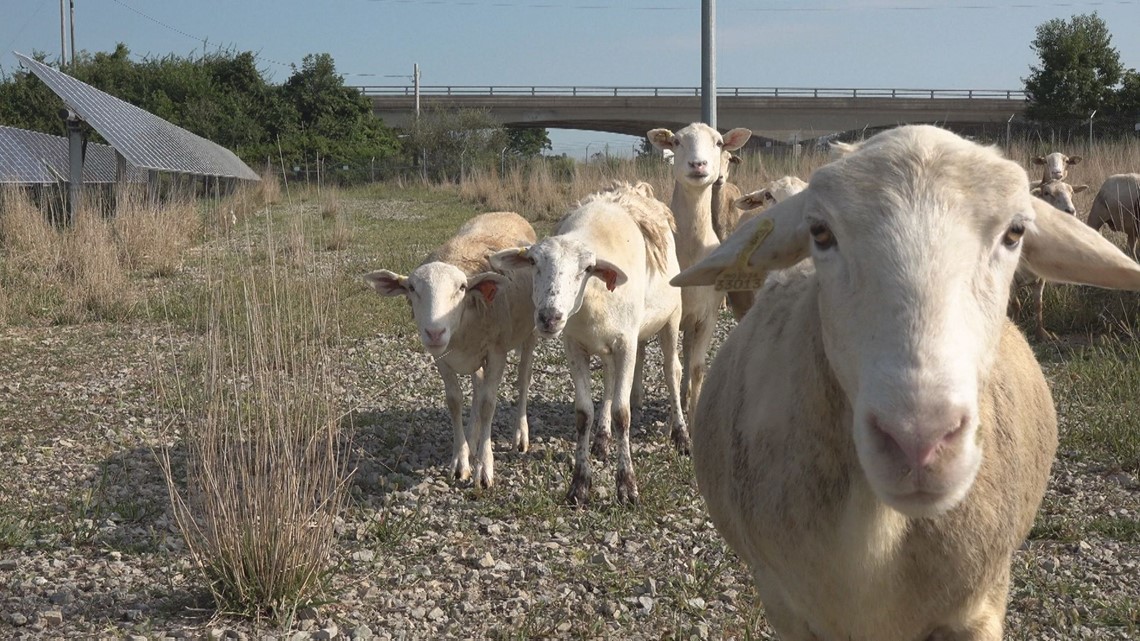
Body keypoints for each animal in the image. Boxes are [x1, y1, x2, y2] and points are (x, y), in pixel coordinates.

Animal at [364, 211, 538, 489]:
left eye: (462, 288)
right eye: (412, 288)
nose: (435, 332)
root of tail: (507, 212)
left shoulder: (496, 351)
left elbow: (489, 403)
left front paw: (484, 468)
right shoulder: (441, 357)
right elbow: (455, 401)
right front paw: (461, 460)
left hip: (530, 332)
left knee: (523, 378)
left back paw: (520, 435)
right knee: (477, 386)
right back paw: (472, 437)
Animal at [490, 181, 684, 505]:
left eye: (586, 268)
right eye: (533, 262)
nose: (549, 317)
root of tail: (632, 188)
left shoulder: (627, 344)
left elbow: (622, 413)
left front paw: (627, 486)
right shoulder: (574, 345)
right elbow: (584, 413)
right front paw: (579, 484)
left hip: (671, 317)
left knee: (672, 372)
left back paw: (681, 436)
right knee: (608, 379)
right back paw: (602, 441)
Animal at [648, 122, 752, 423]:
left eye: (718, 142)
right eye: (676, 141)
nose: (698, 164)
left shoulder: (706, 317)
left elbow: (696, 368)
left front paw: (693, 418)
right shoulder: (669, 319)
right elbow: (671, 368)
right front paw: (676, 424)